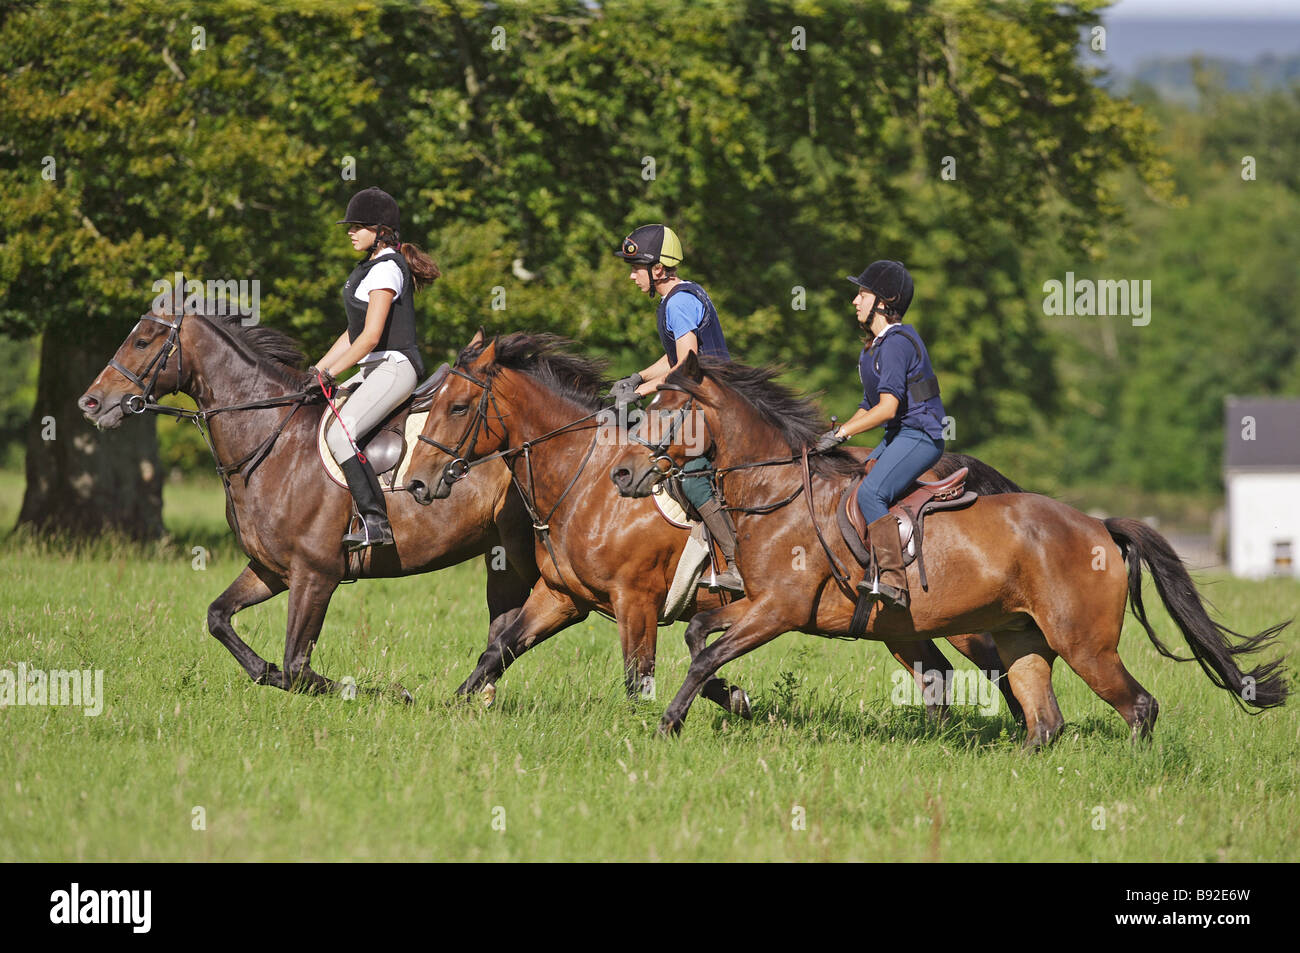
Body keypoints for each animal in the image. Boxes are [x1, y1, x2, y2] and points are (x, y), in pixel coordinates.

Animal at [78, 304, 539, 698]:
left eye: (142, 342)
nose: (90, 403)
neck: (271, 439)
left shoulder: (317, 574)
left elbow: (297, 668)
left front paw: (390, 692)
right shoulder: (271, 569)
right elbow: (219, 618)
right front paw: (263, 670)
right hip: (501, 558)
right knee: (504, 627)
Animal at [404, 331, 1039, 723]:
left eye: (457, 407)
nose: (414, 483)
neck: (583, 481)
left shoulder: (635, 600)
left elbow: (639, 676)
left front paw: (716, 702)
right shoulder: (564, 597)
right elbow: (499, 651)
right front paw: (451, 705)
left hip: (962, 616)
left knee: (999, 666)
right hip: (897, 625)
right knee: (938, 673)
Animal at [607, 352, 1290, 743]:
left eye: (669, 409)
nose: (622, 475)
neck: (776, 493)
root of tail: (1097, 527)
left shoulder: (780, 609)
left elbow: (704, 655)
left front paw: (669, 724)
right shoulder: (759, 606)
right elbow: (700, 637)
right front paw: (722, 704)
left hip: (1084, 644)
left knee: (1138, 706)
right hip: (1022, 639)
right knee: (1044, 720)